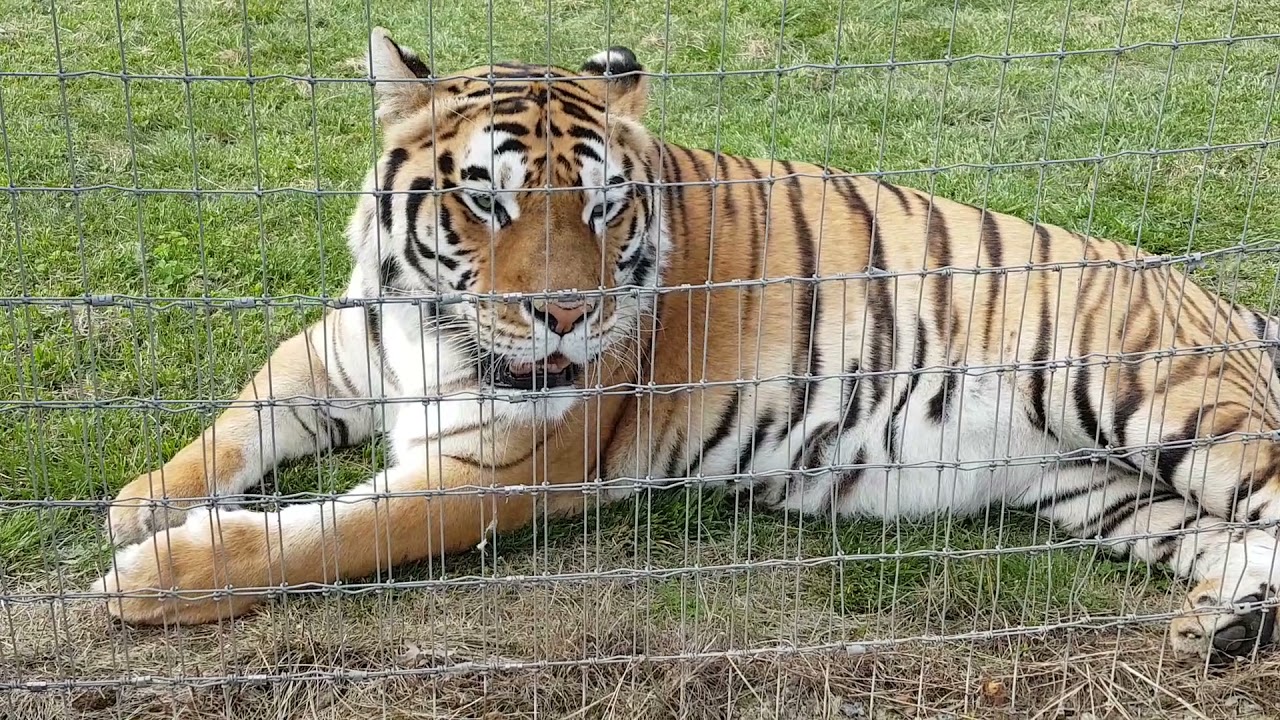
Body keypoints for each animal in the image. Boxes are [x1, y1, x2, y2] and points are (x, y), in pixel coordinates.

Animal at [92, 27, 1280, 661]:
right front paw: (142, 500)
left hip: (1168, 406)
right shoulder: (338, 354)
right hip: (1098, 489)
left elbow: (331, 537)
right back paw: (1214, 630)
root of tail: (1212, 296)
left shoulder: (501, 471)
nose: (566, 317)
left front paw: (152, 576)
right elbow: (238, 419)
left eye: (605, 205)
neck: (425, 322)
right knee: (1239, 544)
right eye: (484, 198)